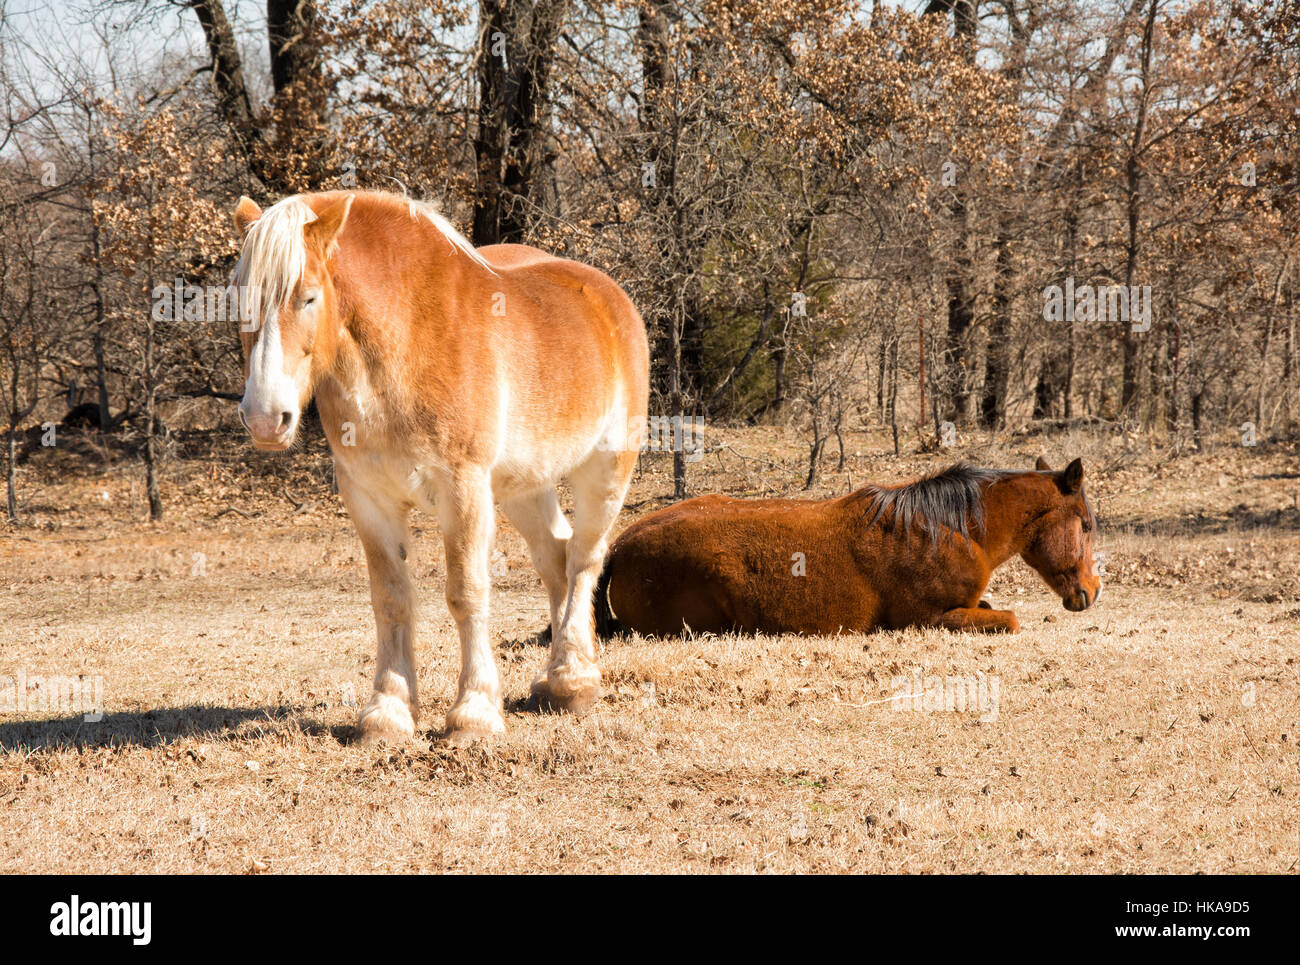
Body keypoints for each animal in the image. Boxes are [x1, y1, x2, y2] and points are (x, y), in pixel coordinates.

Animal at [230, 190, 649, 744]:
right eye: (238, 300)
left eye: (308, 297)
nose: (264, 417)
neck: (408, 339)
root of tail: (609, 297)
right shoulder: (369, 499)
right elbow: (391, 598)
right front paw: (387, 712)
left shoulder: (462, 489)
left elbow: (466, 593)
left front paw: (474, 712)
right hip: (523, 488)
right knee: (555, 557)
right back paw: (554, 679)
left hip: (605, 470)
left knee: (583, 558)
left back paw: (575, 681)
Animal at [593, 458, 1101, 638]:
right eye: (1088, 524)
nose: (1092, 591)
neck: (953, 529)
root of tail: (621, 545)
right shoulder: (929, 619)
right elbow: (1009, 619)